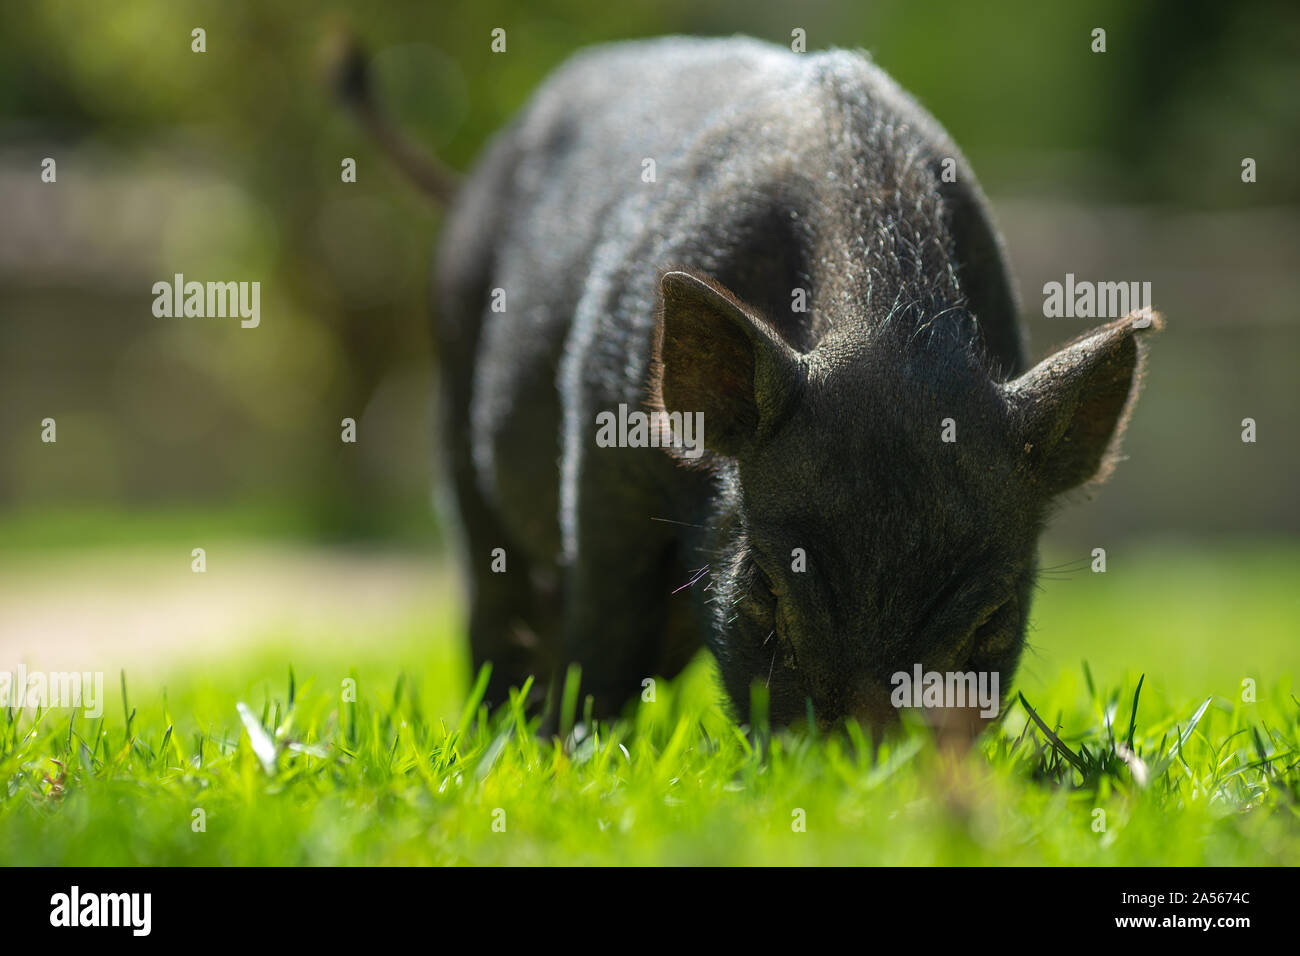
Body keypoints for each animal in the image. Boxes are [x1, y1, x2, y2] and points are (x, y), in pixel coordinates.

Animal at [338, 35, 1160, 732]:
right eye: (766, 586)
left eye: (994, 620)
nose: (855, 767)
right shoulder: (603, 451)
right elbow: (606, 629)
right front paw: (577, 747)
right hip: (456, 400)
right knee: (495, 599)